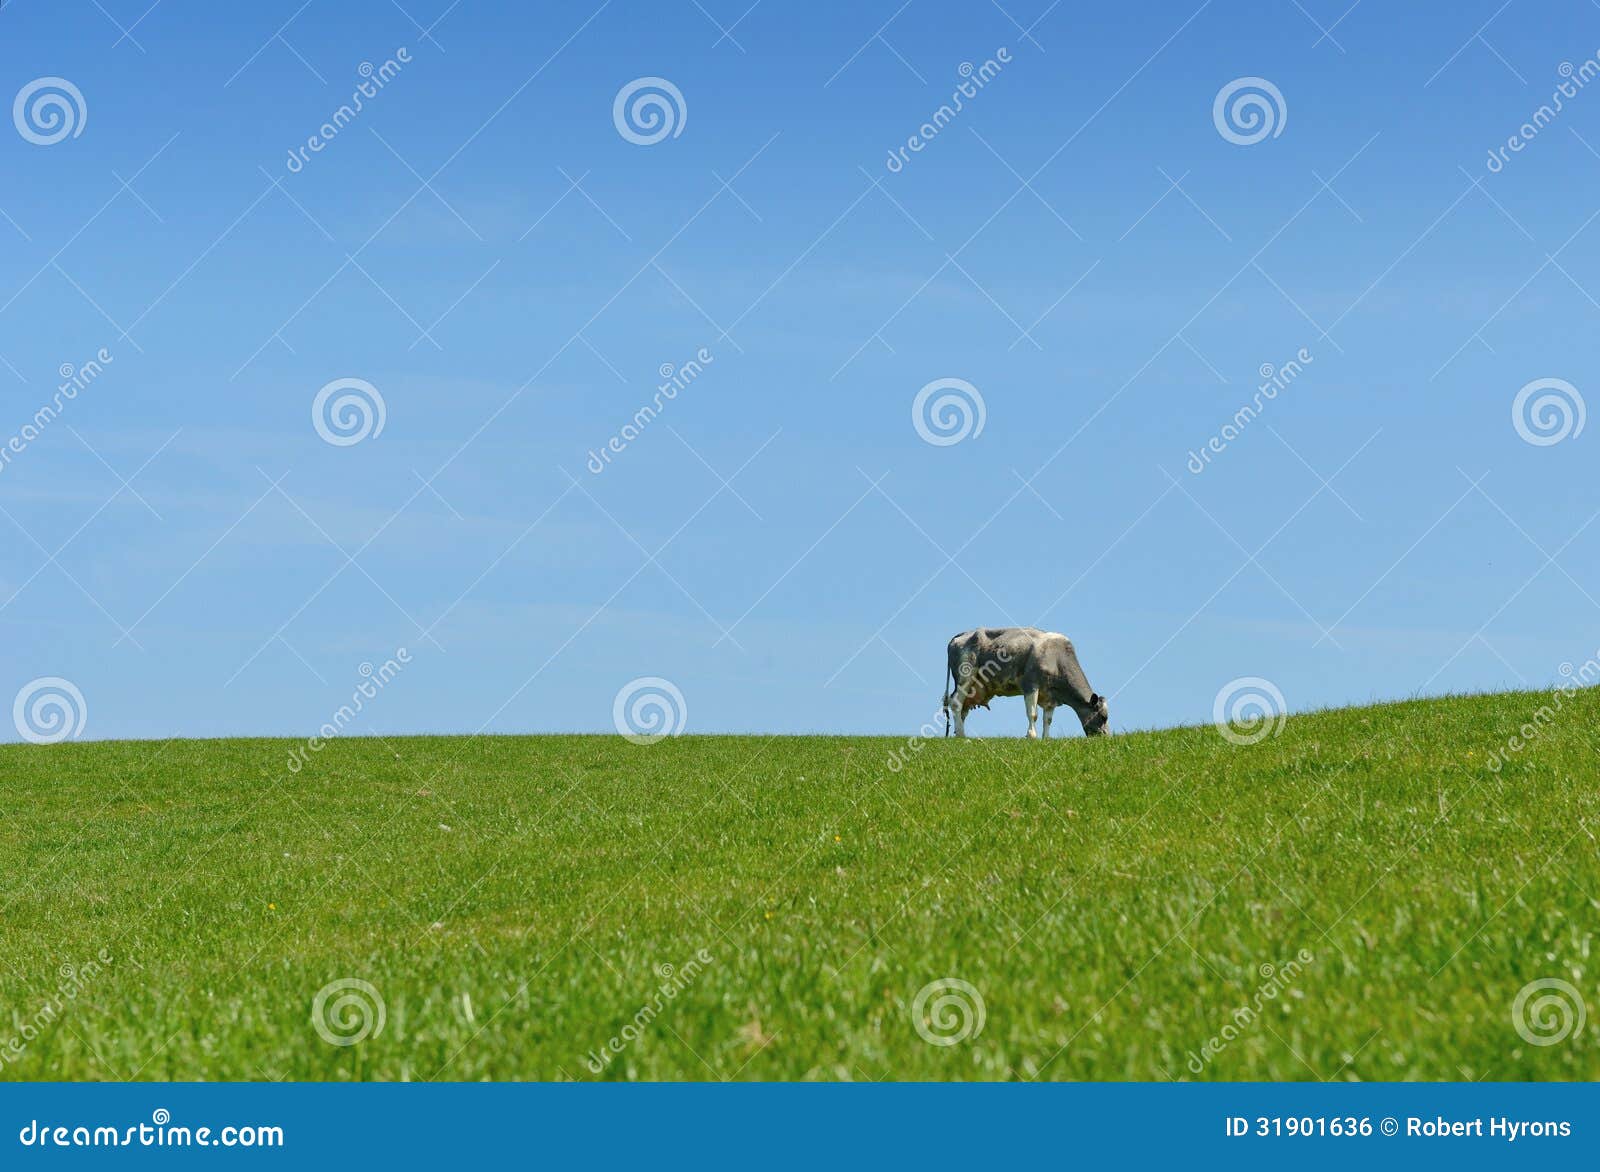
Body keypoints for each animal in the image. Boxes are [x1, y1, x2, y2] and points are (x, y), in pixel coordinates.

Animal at [943, 627, 1108, 739]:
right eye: (1103, 717)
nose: (1106, 738)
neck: (1056, 658)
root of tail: (962, 635)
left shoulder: (1050, 696)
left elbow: (1048, 719)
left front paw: (1046, 739)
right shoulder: (1030, 685)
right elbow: (1033, 714)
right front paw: (1031, 736)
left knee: (963, 709)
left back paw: (958, 732)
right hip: (965, 677)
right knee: (956, 702)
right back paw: (962, 736)